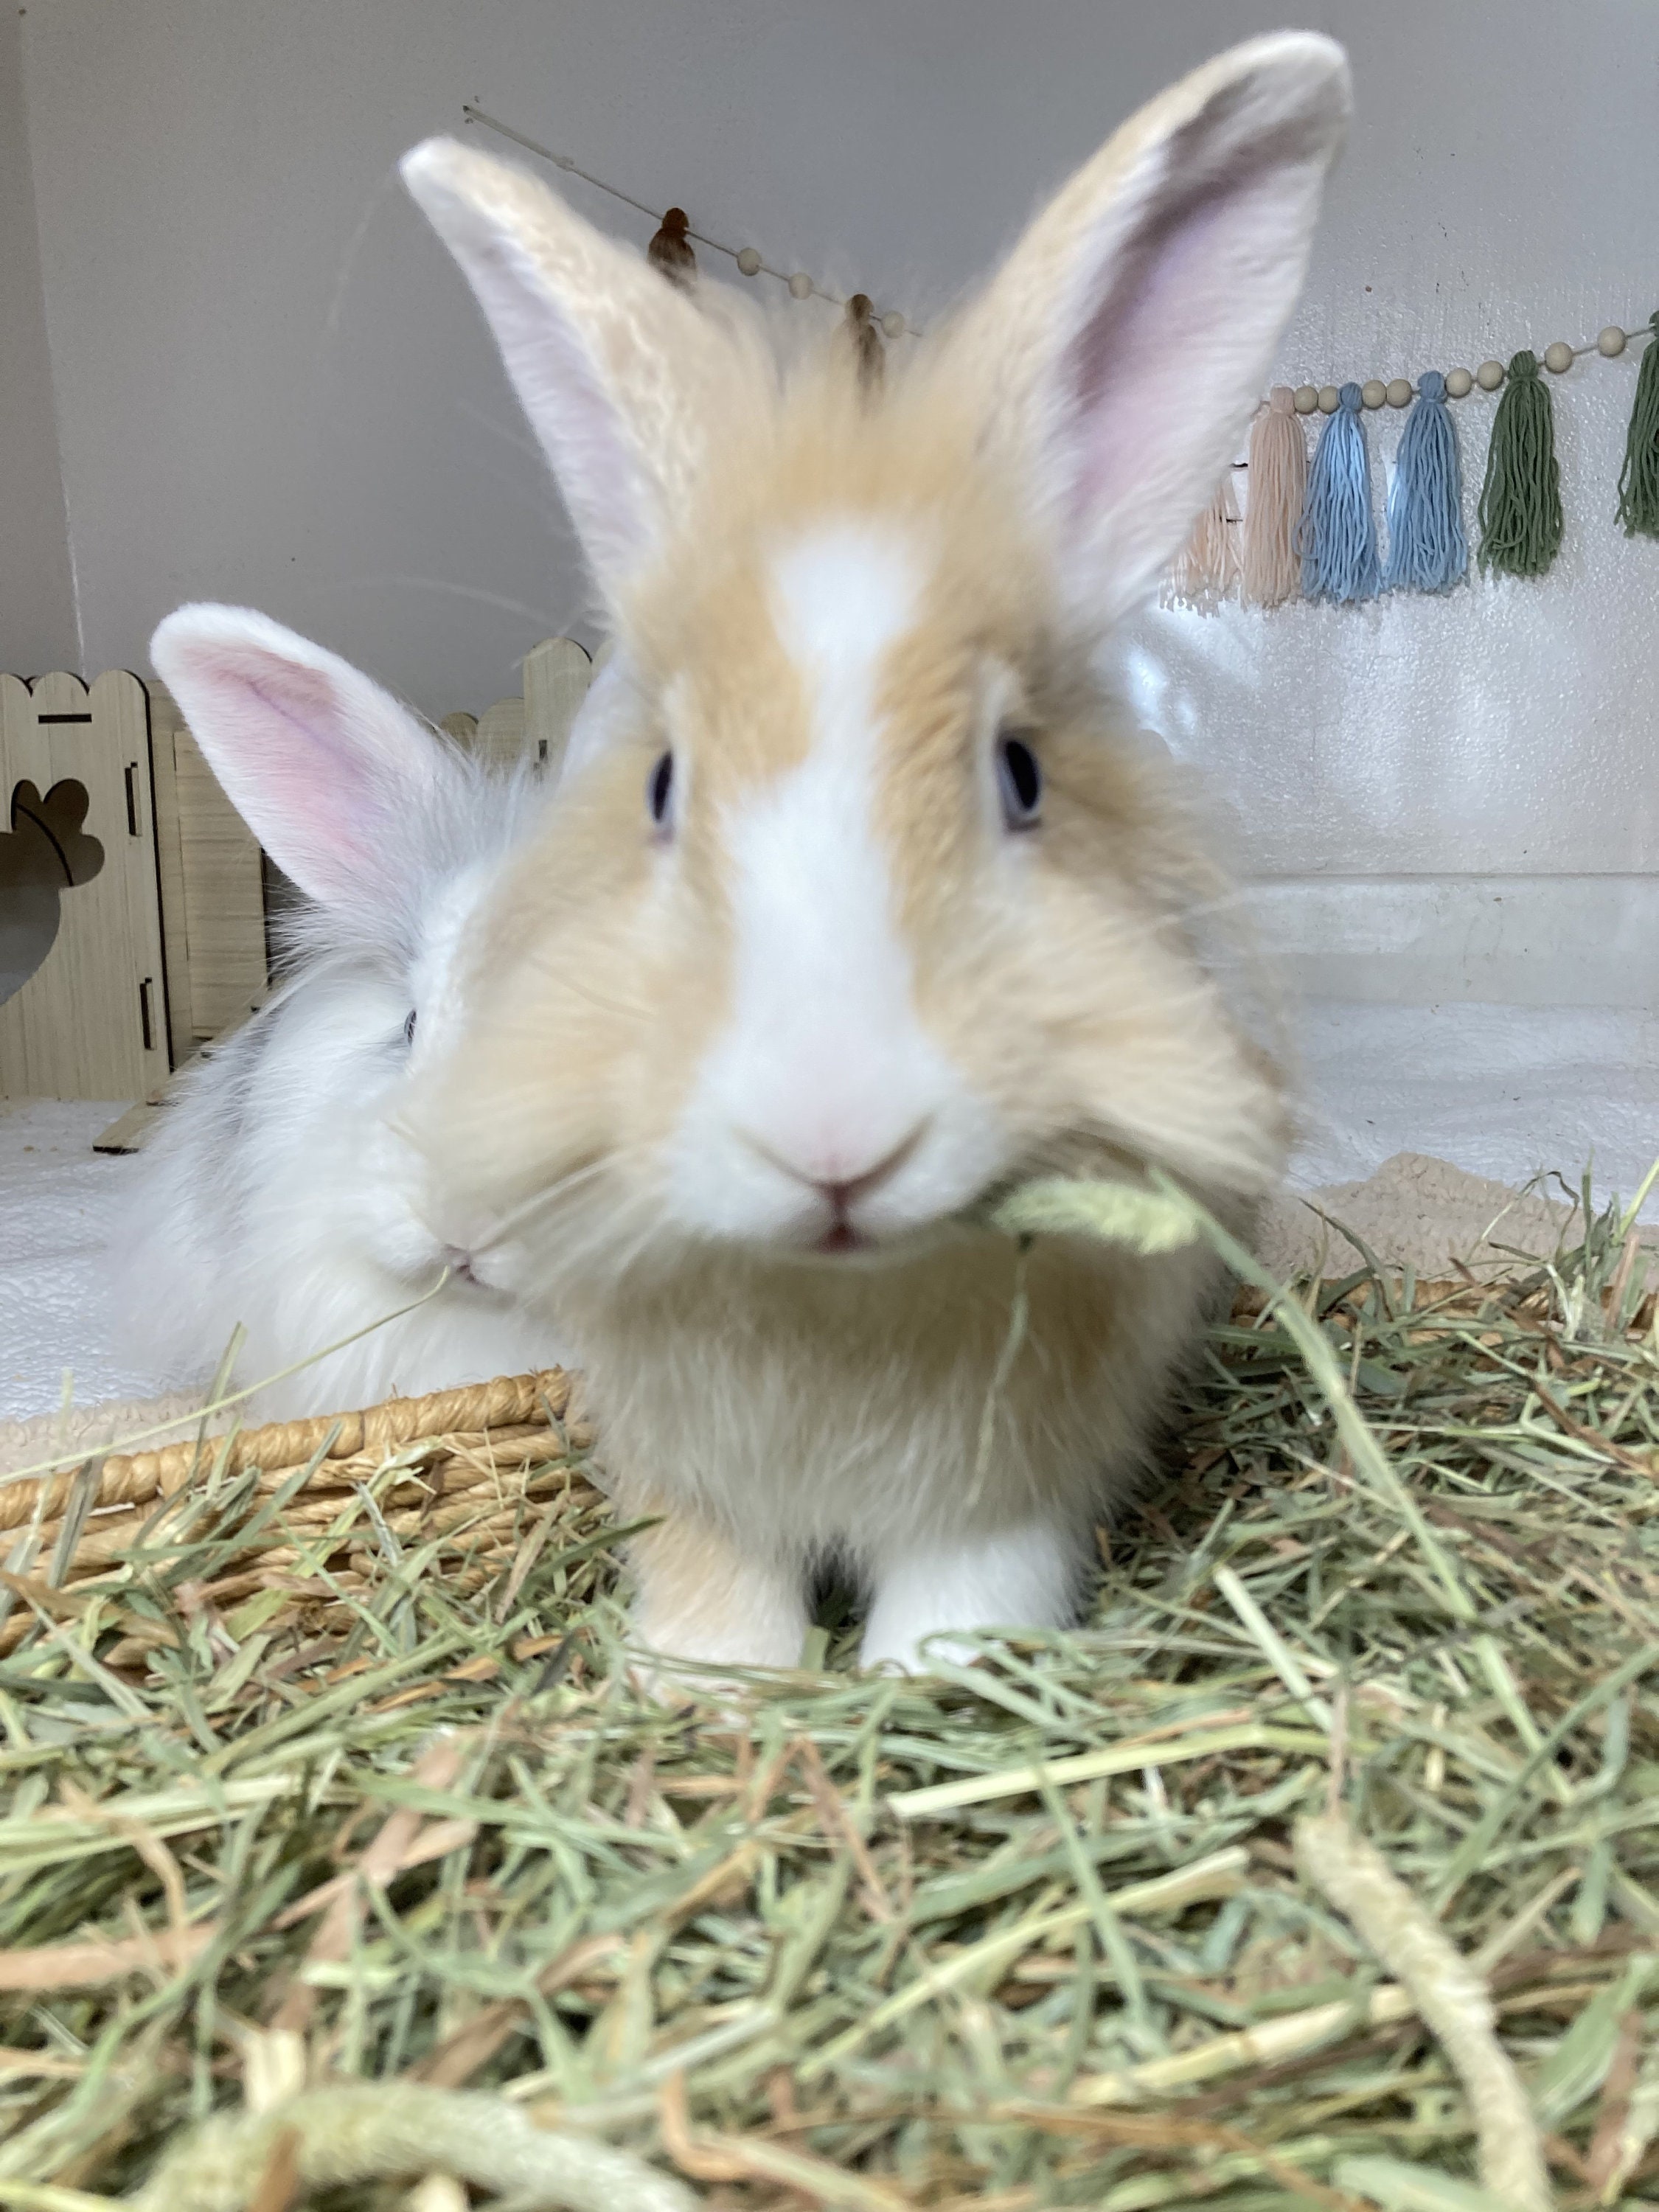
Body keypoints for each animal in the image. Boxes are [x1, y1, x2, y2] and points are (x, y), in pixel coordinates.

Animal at [393, 34, 1350, 1674]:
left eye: (1021, 774)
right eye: (662, 786)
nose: (832, 1137)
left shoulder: (1020, 1474)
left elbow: (976, 1574)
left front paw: (938, 1675)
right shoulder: (682, 1466)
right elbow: (712, 1569)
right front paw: (708, 1682)